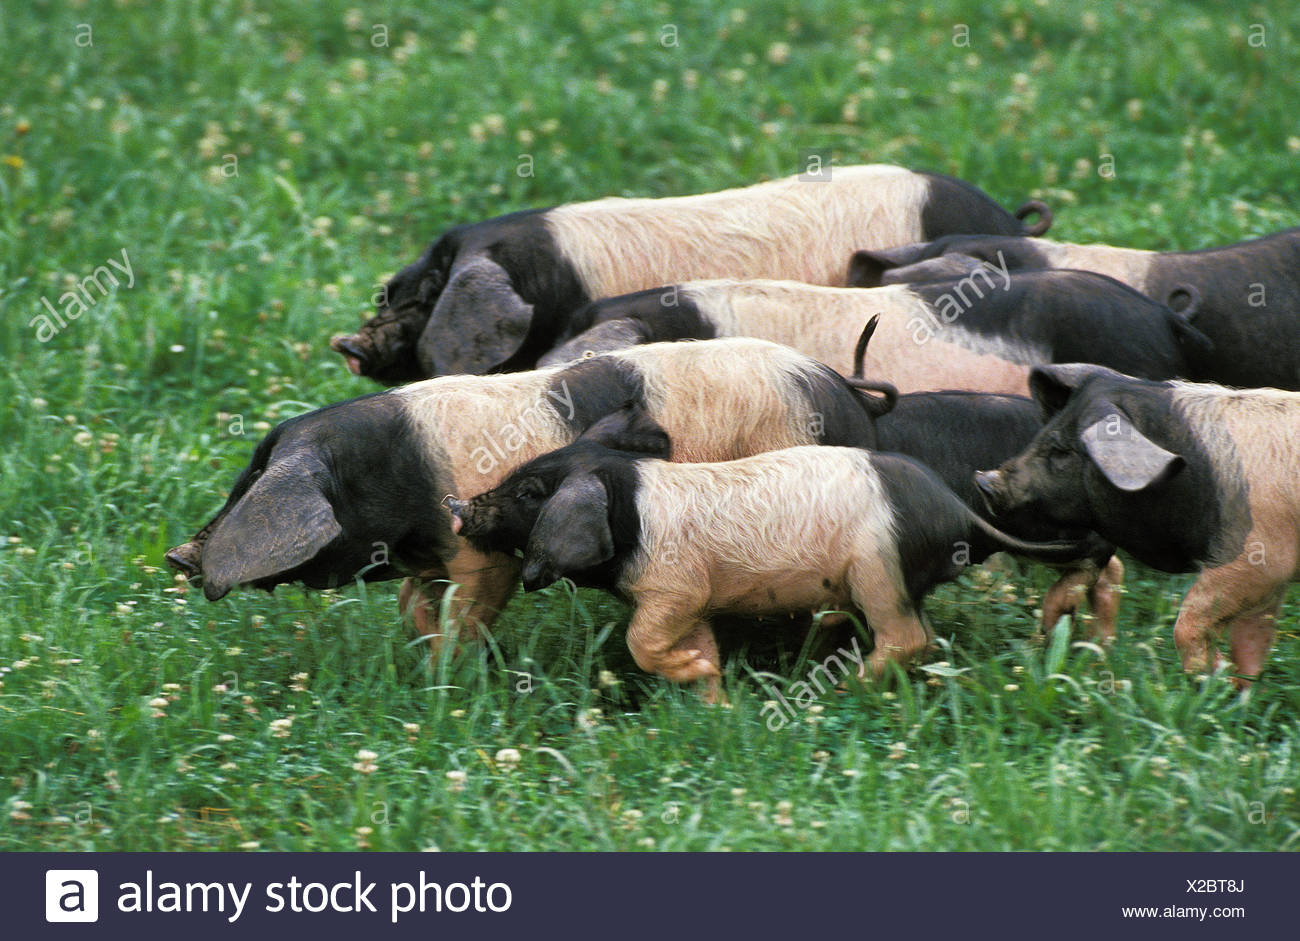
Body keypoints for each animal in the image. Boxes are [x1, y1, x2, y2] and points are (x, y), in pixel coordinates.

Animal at [974, 363, 1300, 685]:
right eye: (1043, 434)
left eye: (1061, 450)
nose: (984, 480)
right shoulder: (1269, 584)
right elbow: (1252, 640)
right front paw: (1236, 686)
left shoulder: (1259, 558)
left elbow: (1192, 622)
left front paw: (1209, 679)